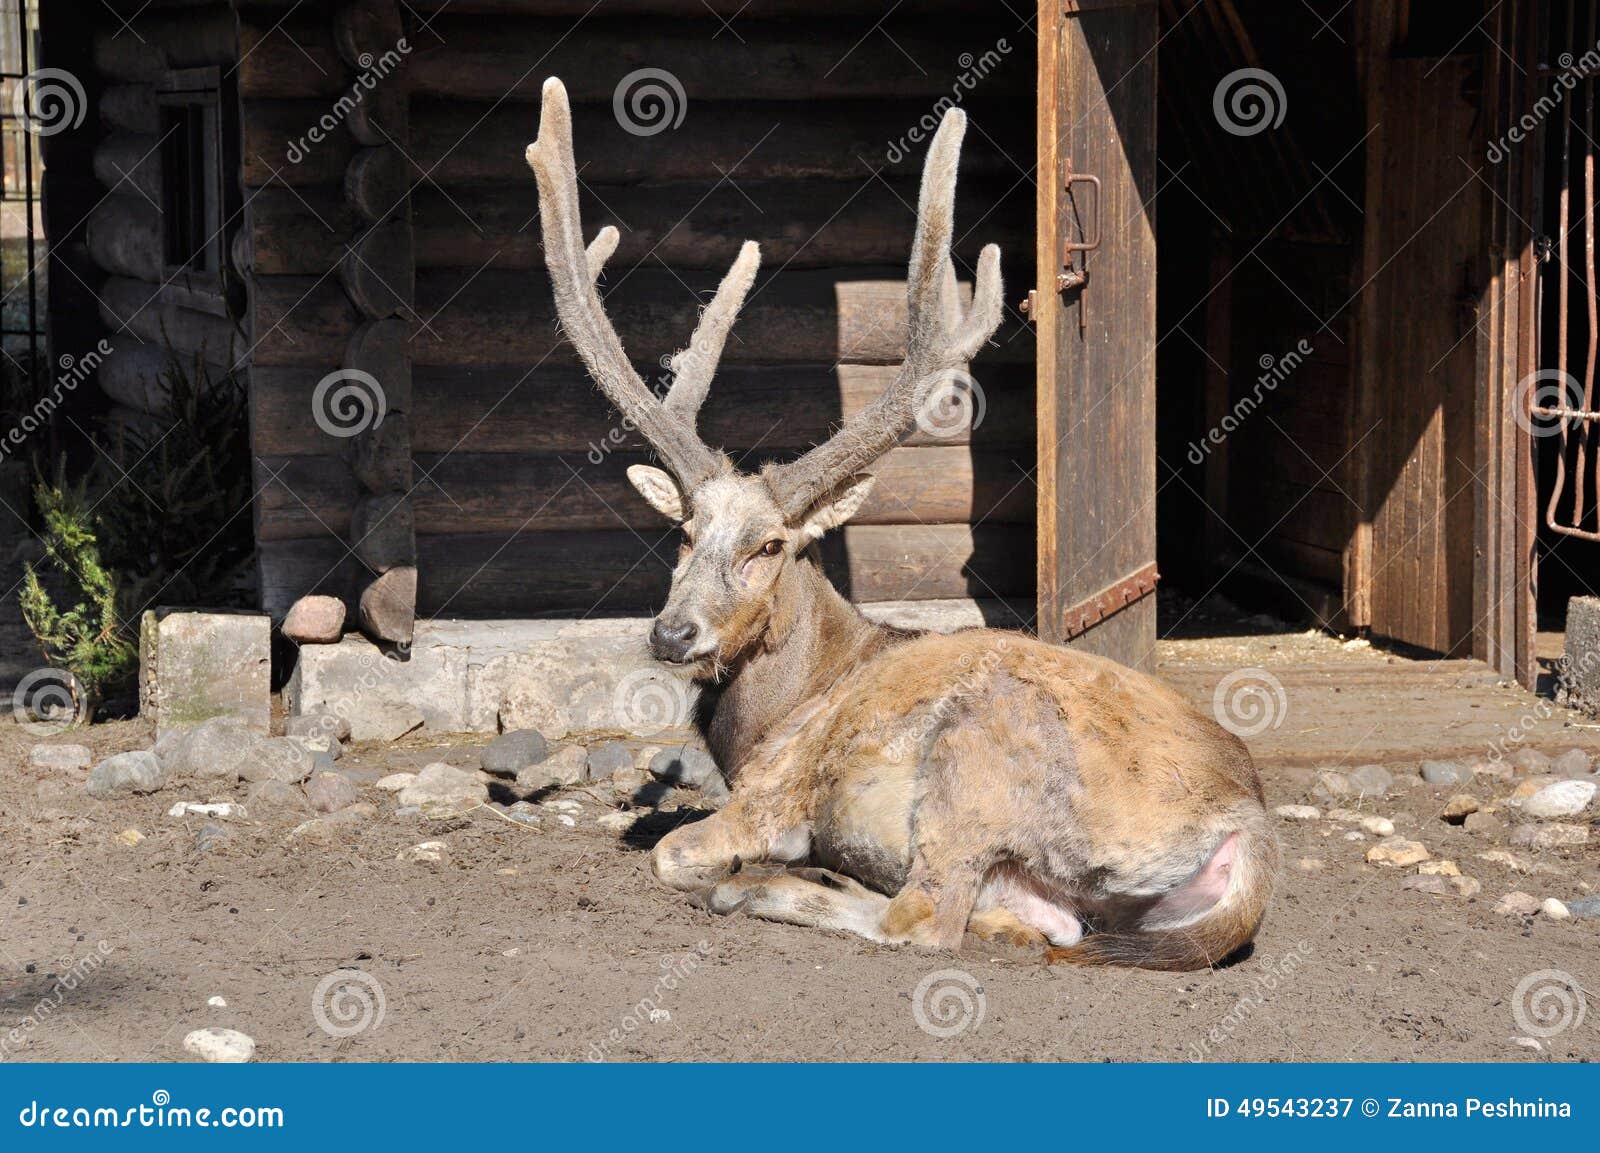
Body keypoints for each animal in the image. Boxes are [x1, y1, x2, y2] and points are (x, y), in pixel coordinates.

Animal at [525, 77, 1275, 970]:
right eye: (683, 533)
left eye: (771, 545)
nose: (672, 633)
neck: (779, 710)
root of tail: (1248, 831)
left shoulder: (775, 788)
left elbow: (672, 853)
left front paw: (743, 868)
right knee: (1034, 919)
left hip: (979, 750)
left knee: (924, 917)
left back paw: (764, 886)